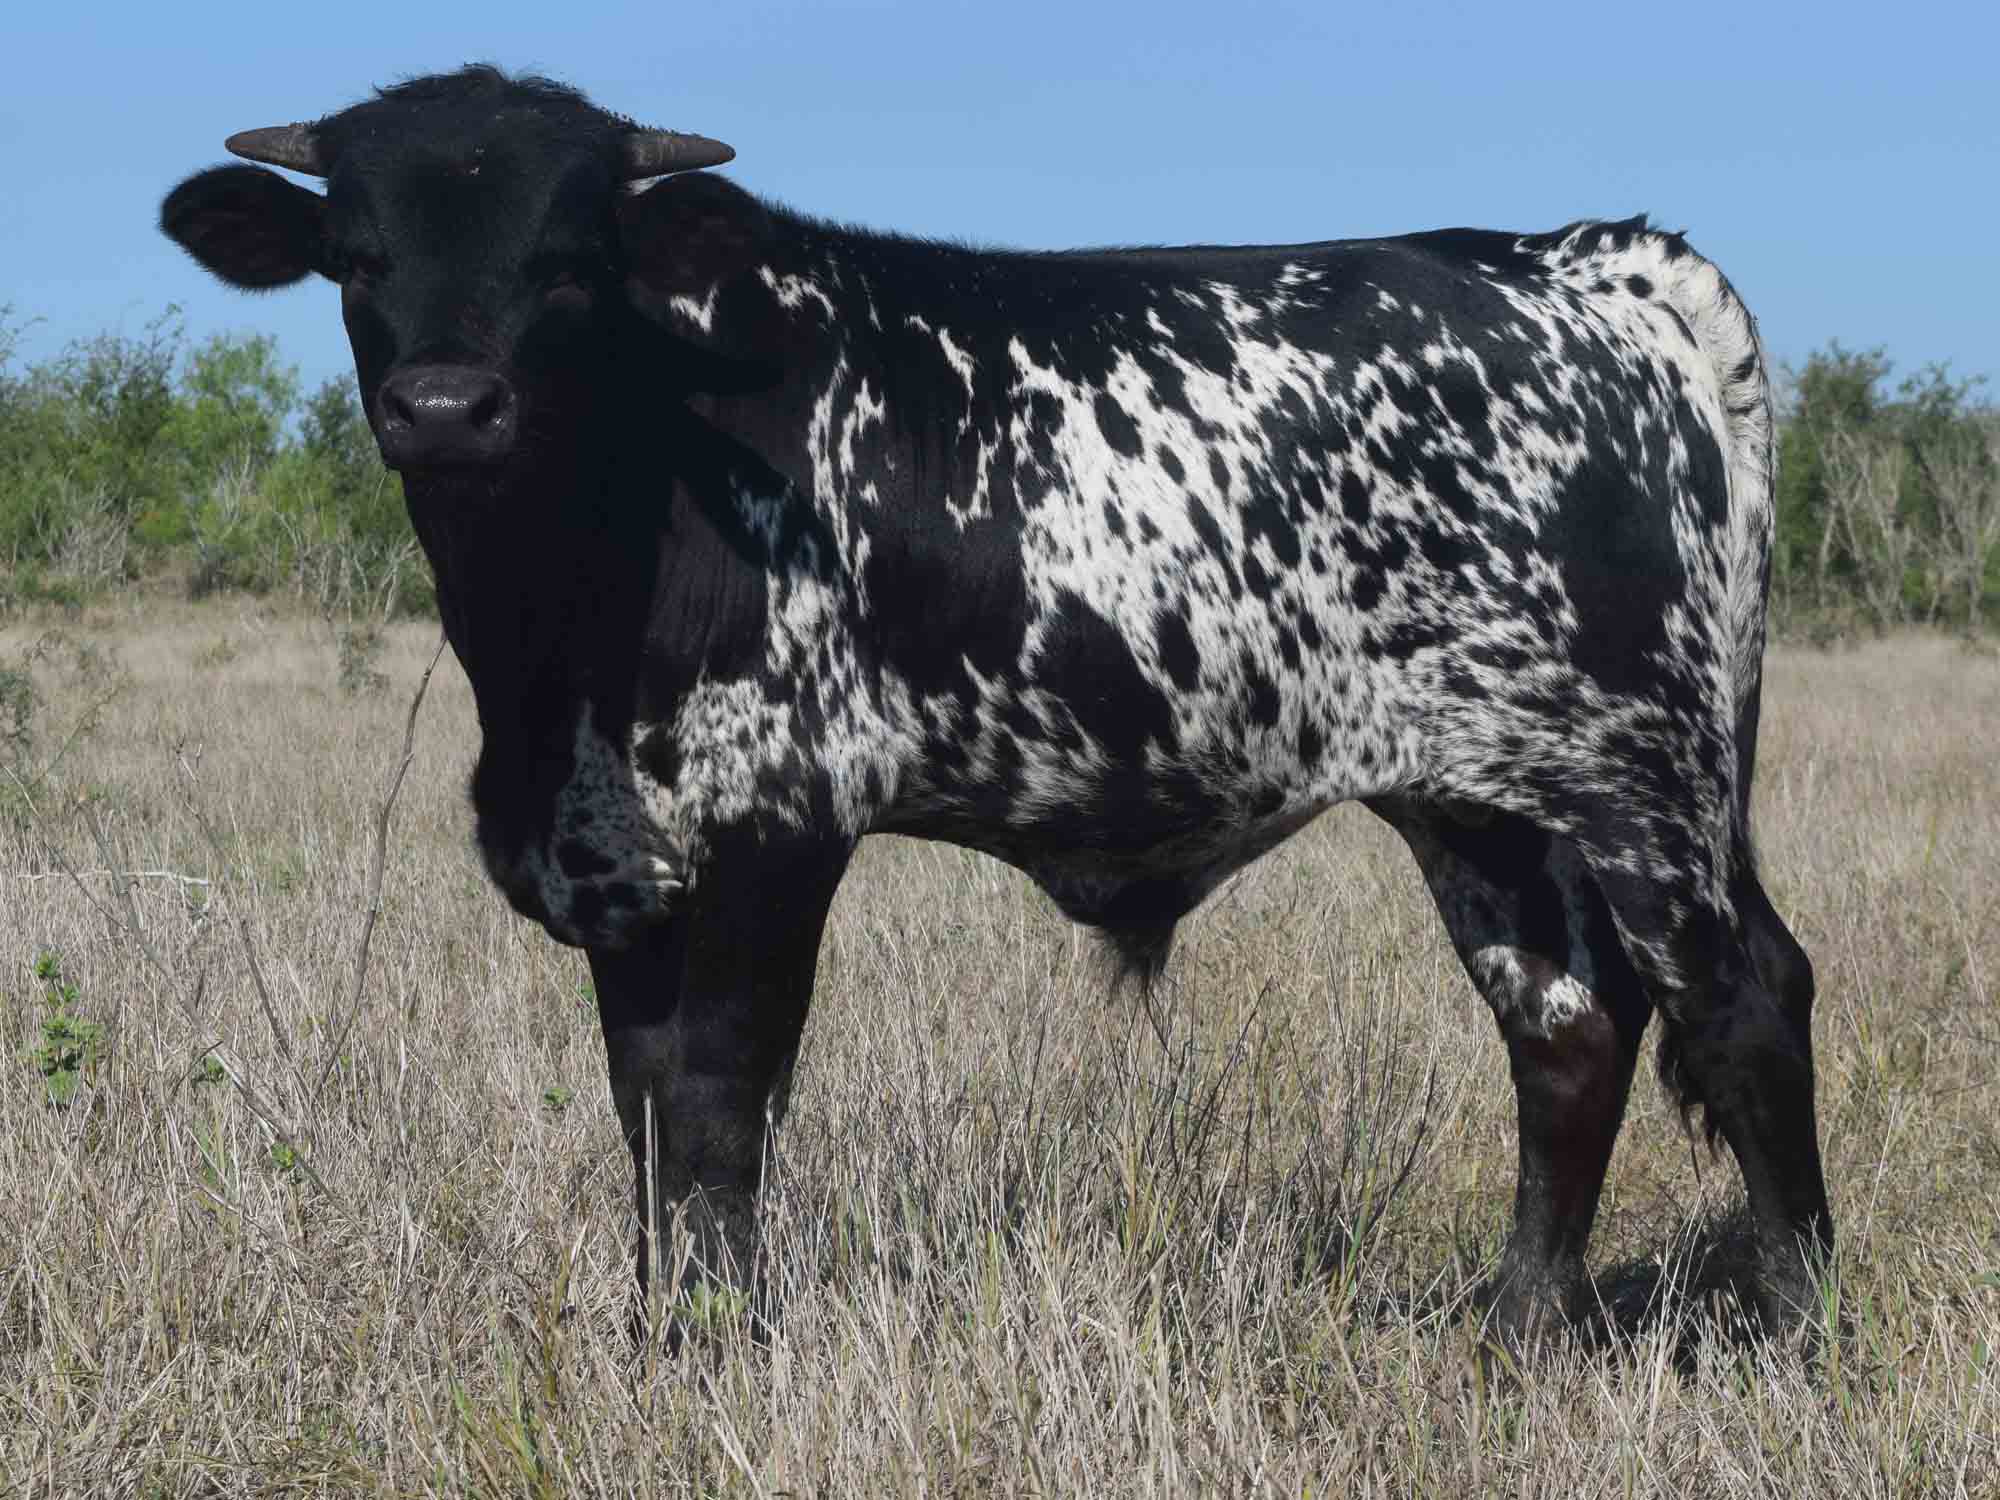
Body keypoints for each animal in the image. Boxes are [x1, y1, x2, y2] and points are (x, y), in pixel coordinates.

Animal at [160, 65, 1831, 1349]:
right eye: (354, 253)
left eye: (567, 257)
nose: (446, 409)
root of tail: (1581, 260)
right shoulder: (627, 861)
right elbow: (642, 1107)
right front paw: (660, 1335)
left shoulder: (779, 817)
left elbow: (716, 1093)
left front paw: (715, 1350)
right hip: (1474, 795)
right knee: (1566, 1027)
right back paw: (1516, 1330)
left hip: (1649, 776)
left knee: (1745, 996)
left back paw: (1801, 1324)